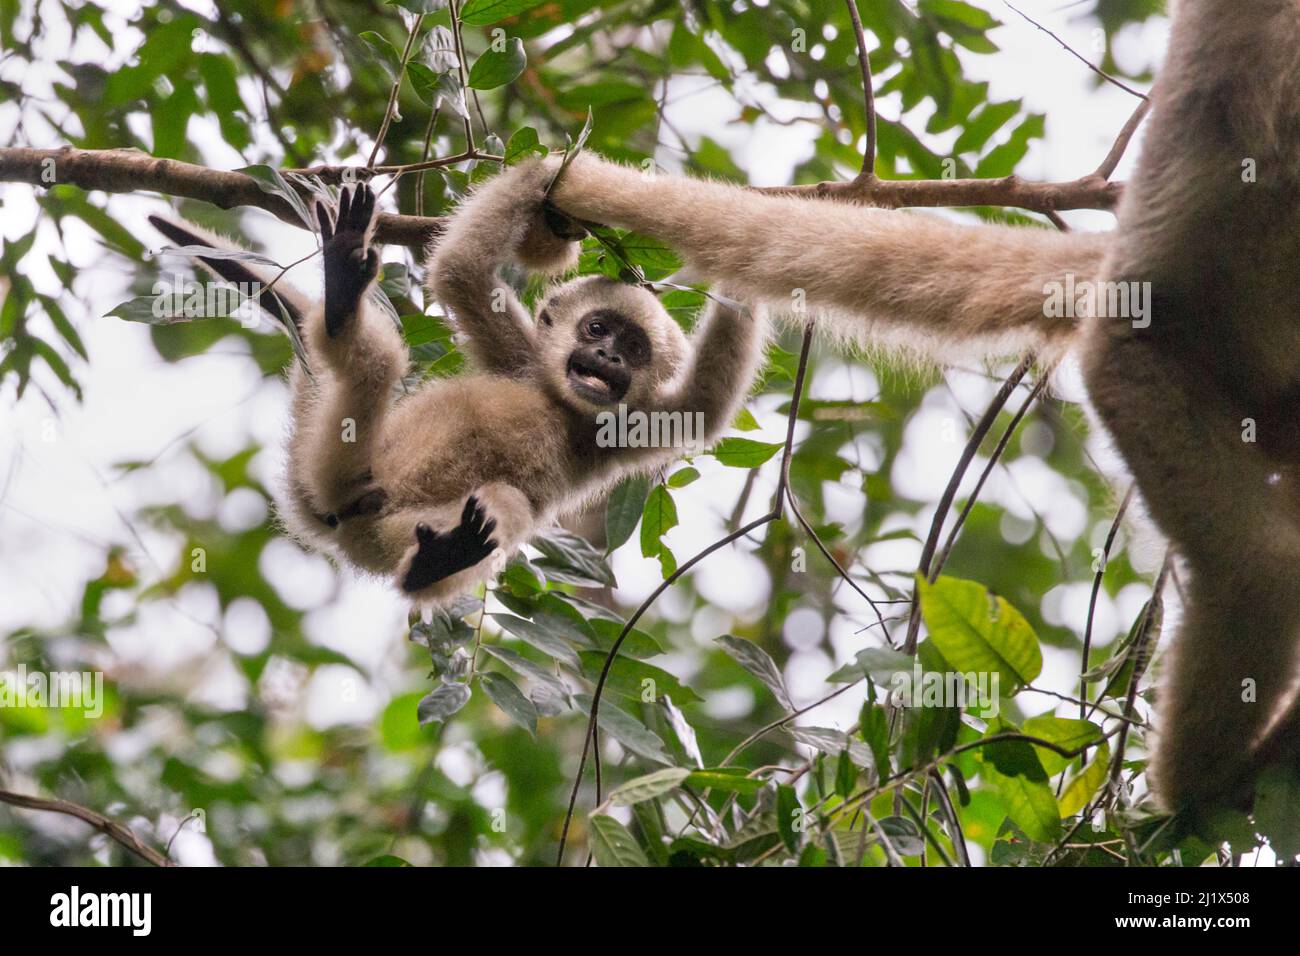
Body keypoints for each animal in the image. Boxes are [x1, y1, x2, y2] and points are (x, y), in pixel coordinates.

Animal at [150, 158, 767, 607]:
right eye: (598, 328)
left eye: (634, 350)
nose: (608, 355)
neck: (560, 404)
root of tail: (330, 520)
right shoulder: (518, 356)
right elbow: (461, 269)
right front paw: (554, 170)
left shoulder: (628, 426)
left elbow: (707, 405)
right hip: (343, 469)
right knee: (377, 365)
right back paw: (343, 289)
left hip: (384, 526)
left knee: (502, 504)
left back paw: (437, 562)